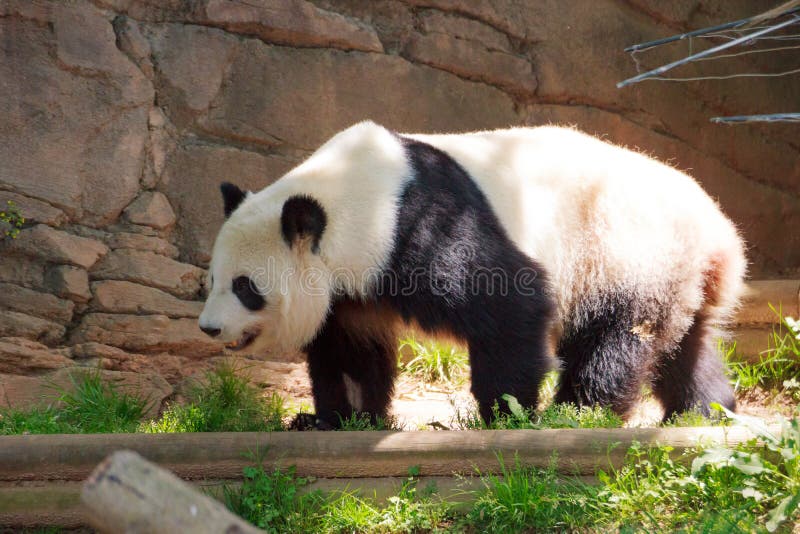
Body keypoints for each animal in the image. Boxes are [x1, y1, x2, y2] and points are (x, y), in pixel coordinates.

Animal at [199, 120, 745, 429]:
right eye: (213, 280)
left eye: (246, 288)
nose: (209, 327)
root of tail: (720, 235)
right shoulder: (351, 287)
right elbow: (350, 347)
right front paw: (335, 419)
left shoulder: (421, 225)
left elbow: (509, 305)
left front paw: (507, 414)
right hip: (674, 270)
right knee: (685, 345)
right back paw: (705, 410)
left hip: (625, 250)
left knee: (616, 336)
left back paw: (581, 413)